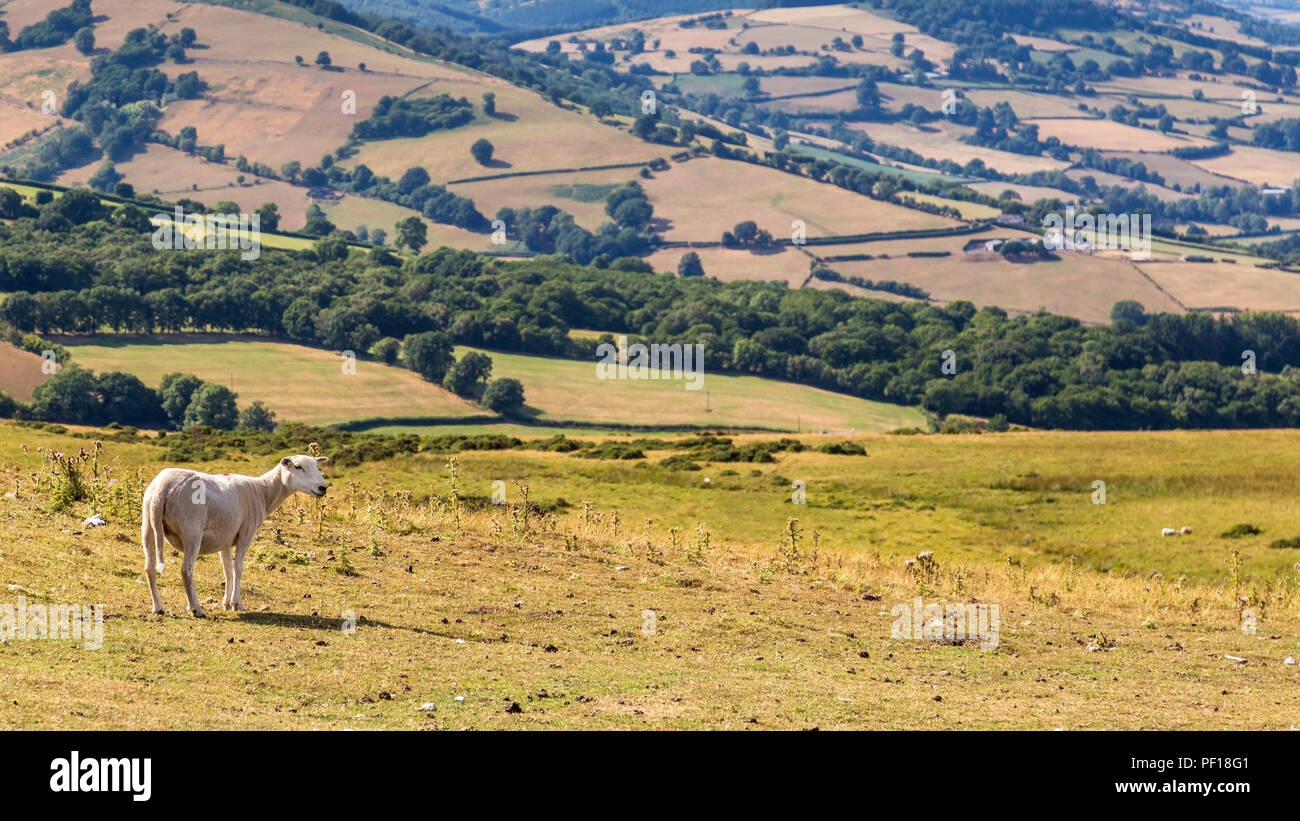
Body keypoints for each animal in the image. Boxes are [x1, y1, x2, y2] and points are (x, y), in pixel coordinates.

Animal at [141, 455, 330, 617]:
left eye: (317, 466)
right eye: (298, 467)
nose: (323, 487)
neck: (262, 492)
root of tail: (163, 486)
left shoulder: (225, 540)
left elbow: (228, 571)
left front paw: (226, 603)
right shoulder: (246, 533)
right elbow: (238, 569)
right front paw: (237, 603)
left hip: (148, 524)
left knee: (149, 568)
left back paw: (158, 607)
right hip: (191, 530)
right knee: (186, 570)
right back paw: (196, 608)